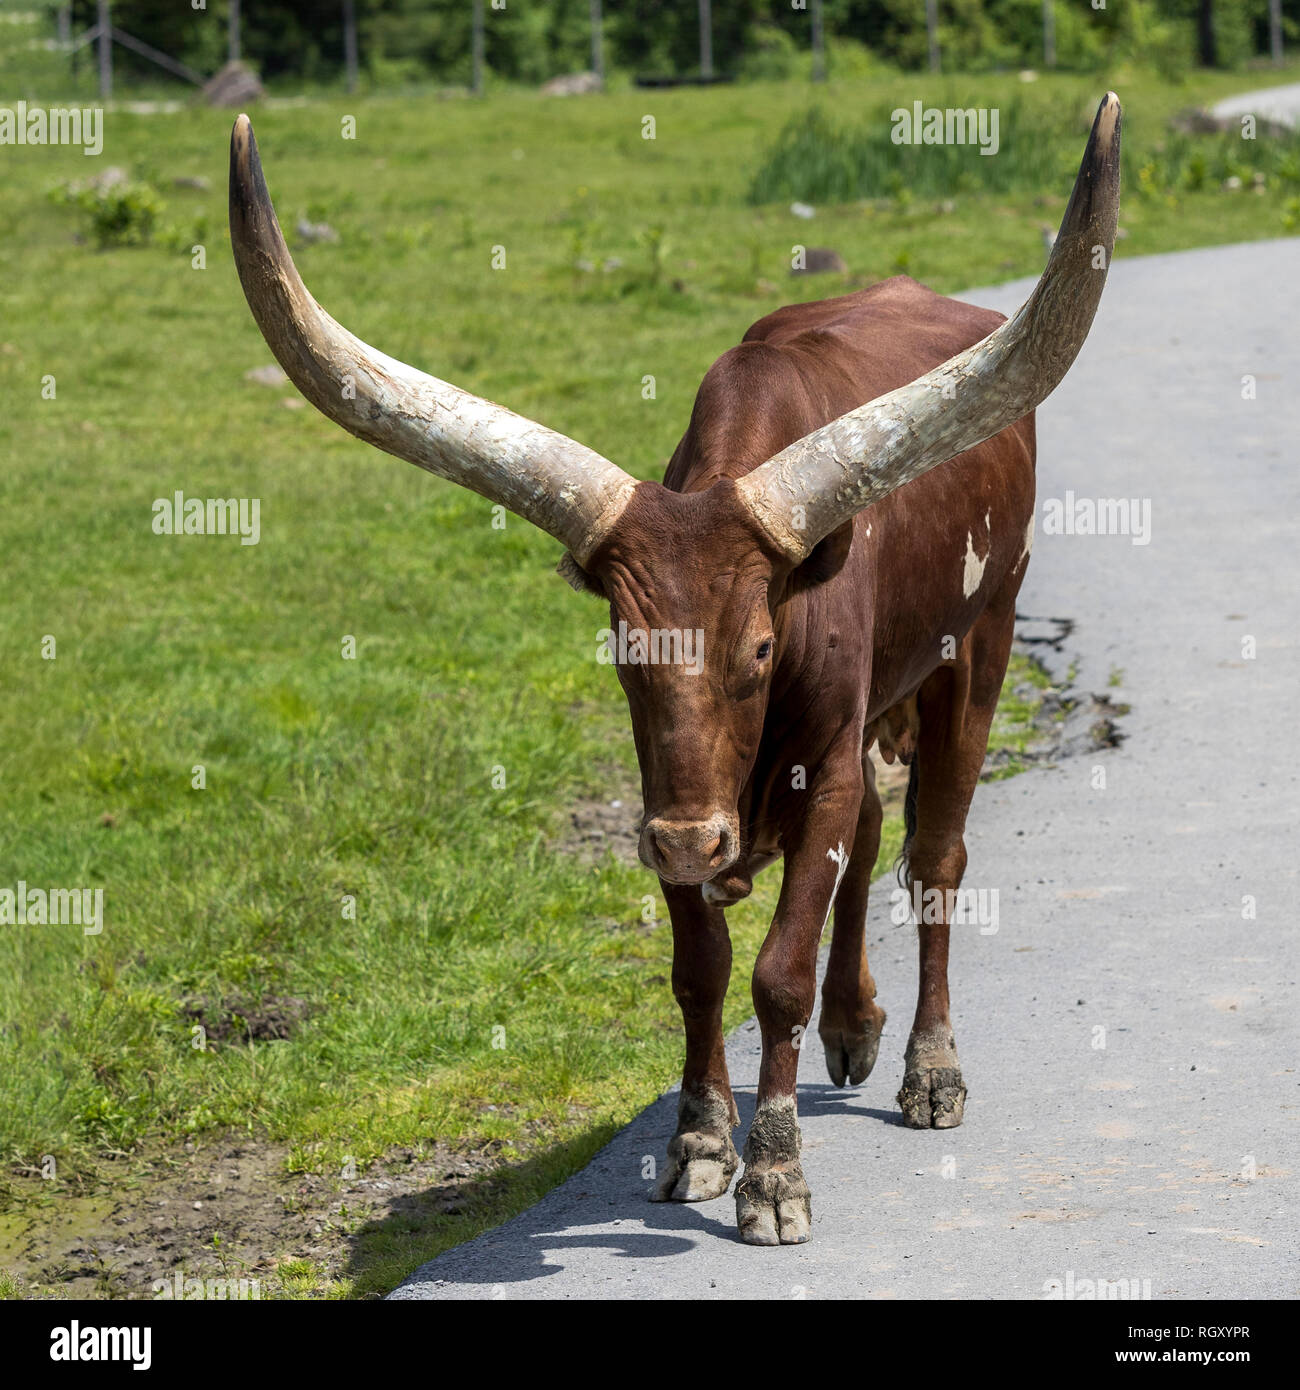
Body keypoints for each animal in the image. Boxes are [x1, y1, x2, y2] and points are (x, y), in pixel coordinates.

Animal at [228, 93, 1120, 1245]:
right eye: (622, 645)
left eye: (758, 647)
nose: (697, 840)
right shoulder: (664, 796)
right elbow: (701, 971)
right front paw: (699, 1140)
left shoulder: (820, 765)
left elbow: (777, 972)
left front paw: (775, 1172)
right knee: (880, 841)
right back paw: (856, 1026)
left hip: (982, 641)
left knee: (934, 856)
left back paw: (930, 1069)